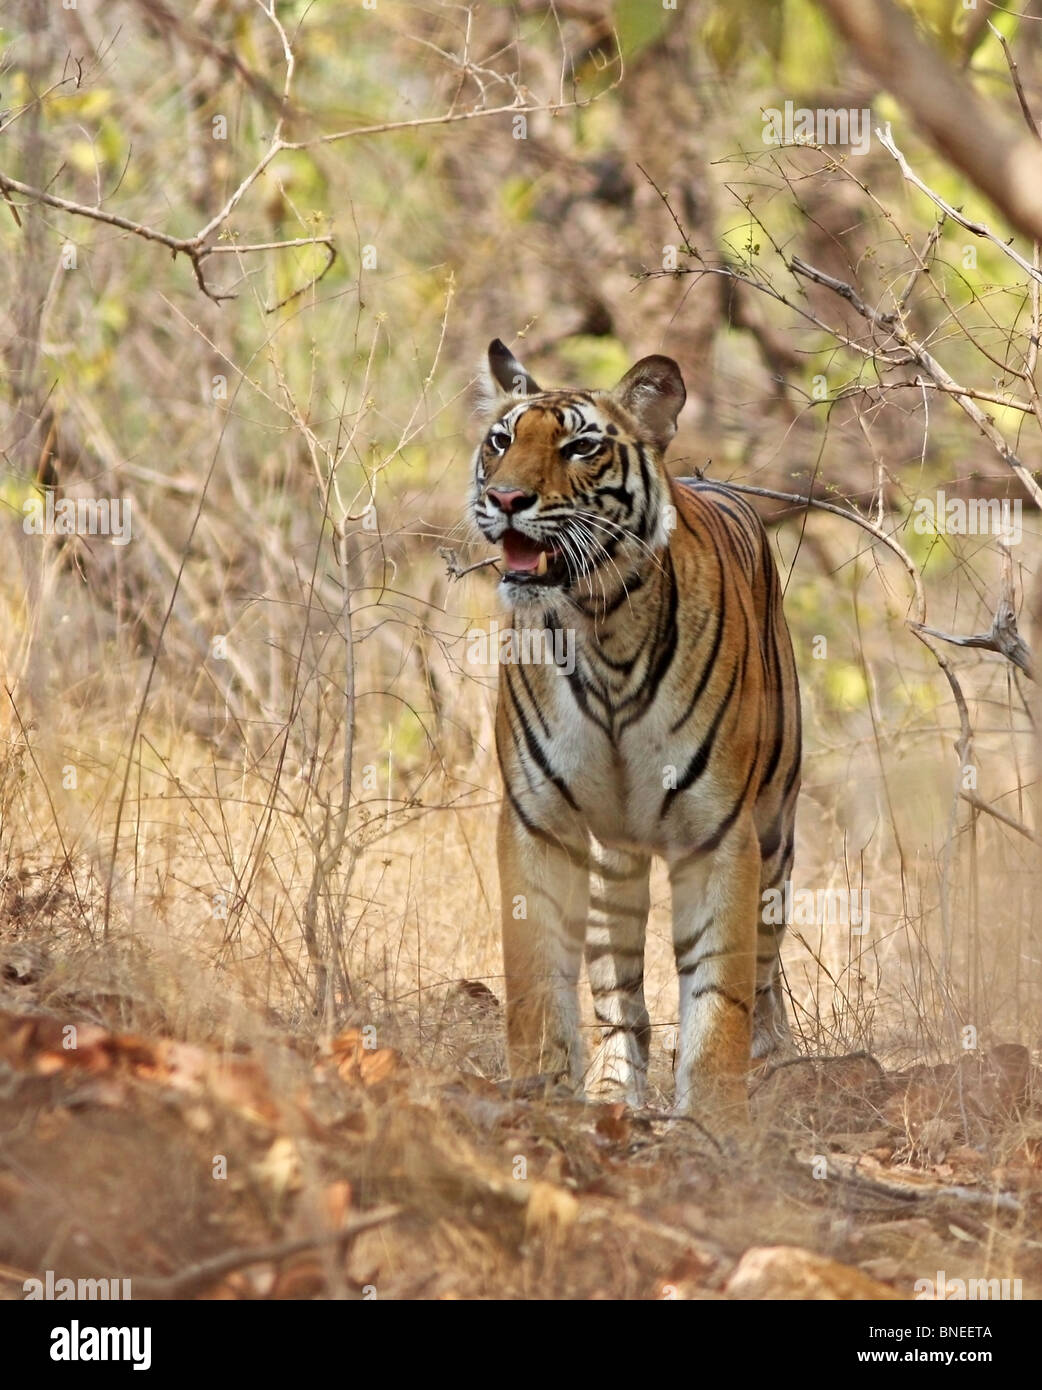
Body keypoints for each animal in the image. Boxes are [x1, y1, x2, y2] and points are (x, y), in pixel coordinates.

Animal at [469, 338, 802, 1123]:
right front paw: (542, 1093)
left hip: (776, 828)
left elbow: (720, 990)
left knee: (765, 963)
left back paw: (775, 1060)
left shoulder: (719, 831)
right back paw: (614, 1084)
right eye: (500, 441)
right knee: (618, 992)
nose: (505, 500)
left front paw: (714, 1118)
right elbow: (537, 979)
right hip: (611, 859)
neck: (602, 625)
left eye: (580, 445)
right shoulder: (540, 820)